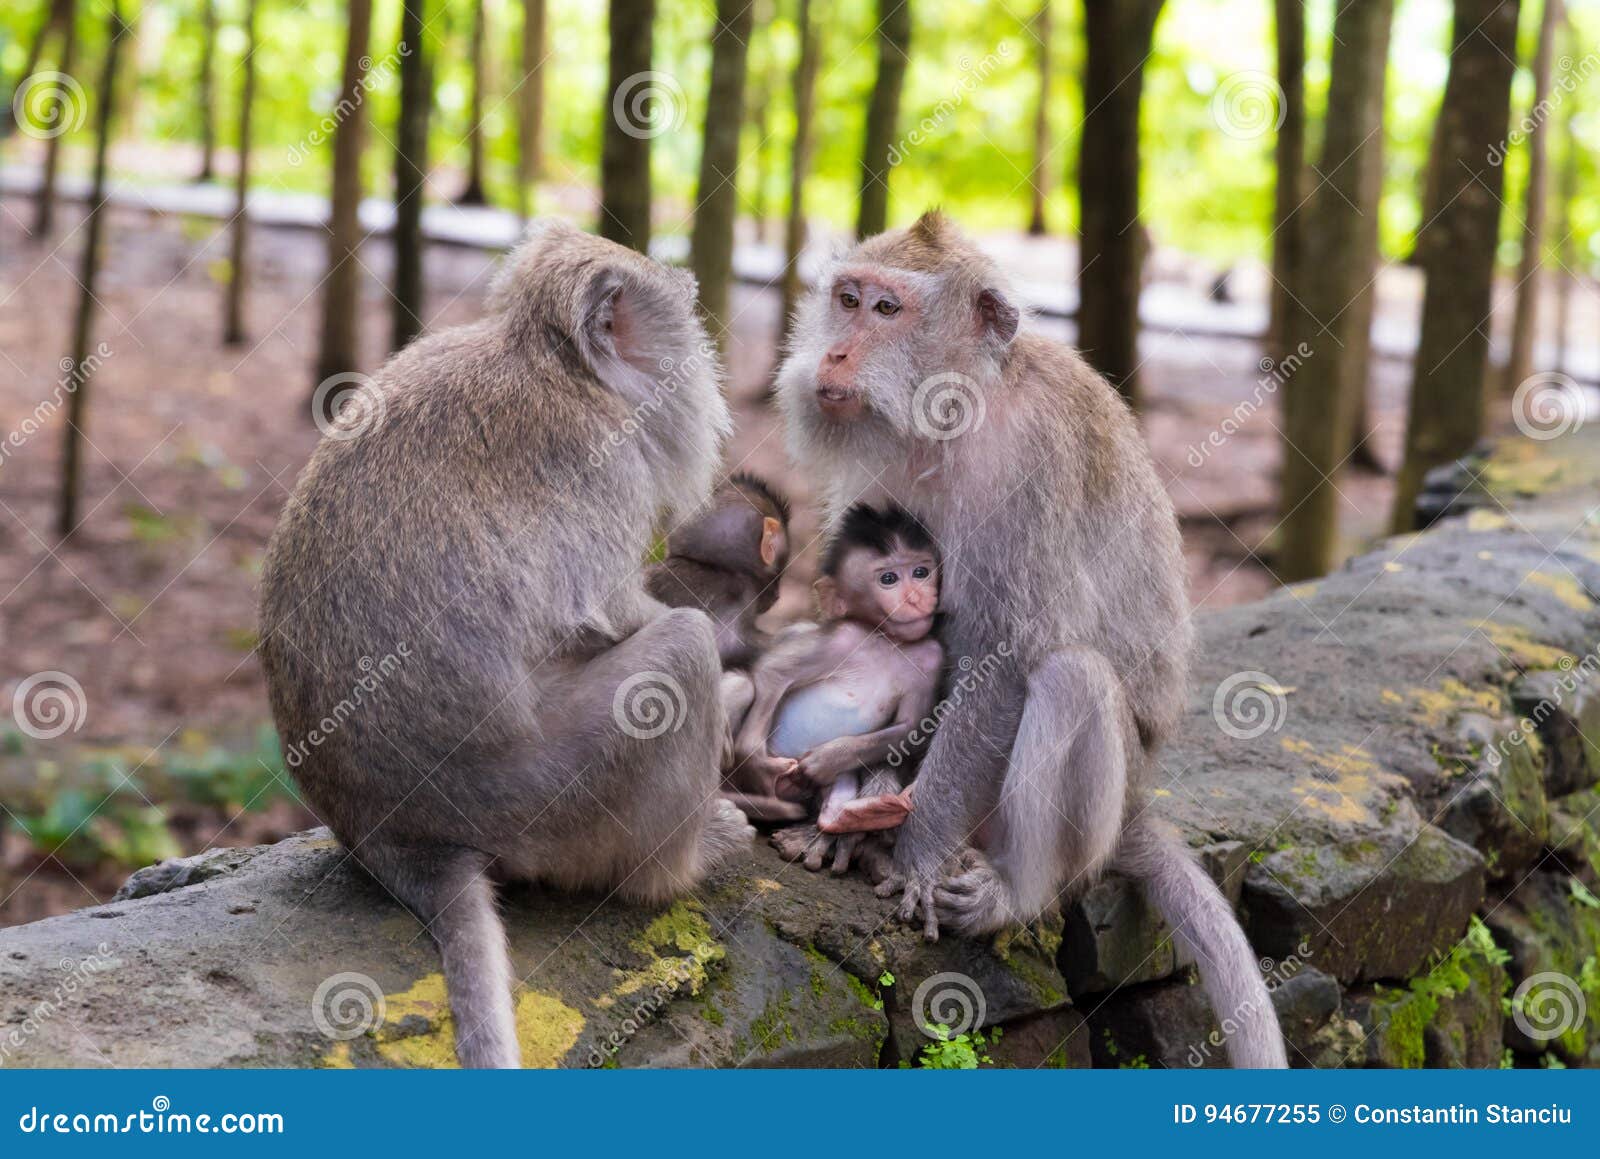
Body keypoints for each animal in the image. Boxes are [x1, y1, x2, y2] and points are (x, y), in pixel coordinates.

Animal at [257, 219, 756, 1069]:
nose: (704, 352)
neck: (555, 362)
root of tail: (396, 836)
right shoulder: (605, 462)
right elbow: (611, 607)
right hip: (541, 794)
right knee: (681, 653)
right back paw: (686, 859)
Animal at [720, 504, 942, 875]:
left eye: (921, 571)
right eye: (888, 579)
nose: (915, 597)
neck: (888, 641)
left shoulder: (931, 659)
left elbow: (910, 726)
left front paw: (825, 759)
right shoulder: (842, 636)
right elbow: (773, 672)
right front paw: (755, 761)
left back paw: (854, 814)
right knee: (742, 685)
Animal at [773, 210, 1288, 1068]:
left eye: (887, 310)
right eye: (846, 300)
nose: (835, 354)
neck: (952, 416)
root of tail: (1136, 808)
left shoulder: (1033, 465)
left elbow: (1006, 661)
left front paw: (915, 855)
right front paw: (851, 812)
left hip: (1094, 806)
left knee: (1071, 677)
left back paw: (1012, 891)